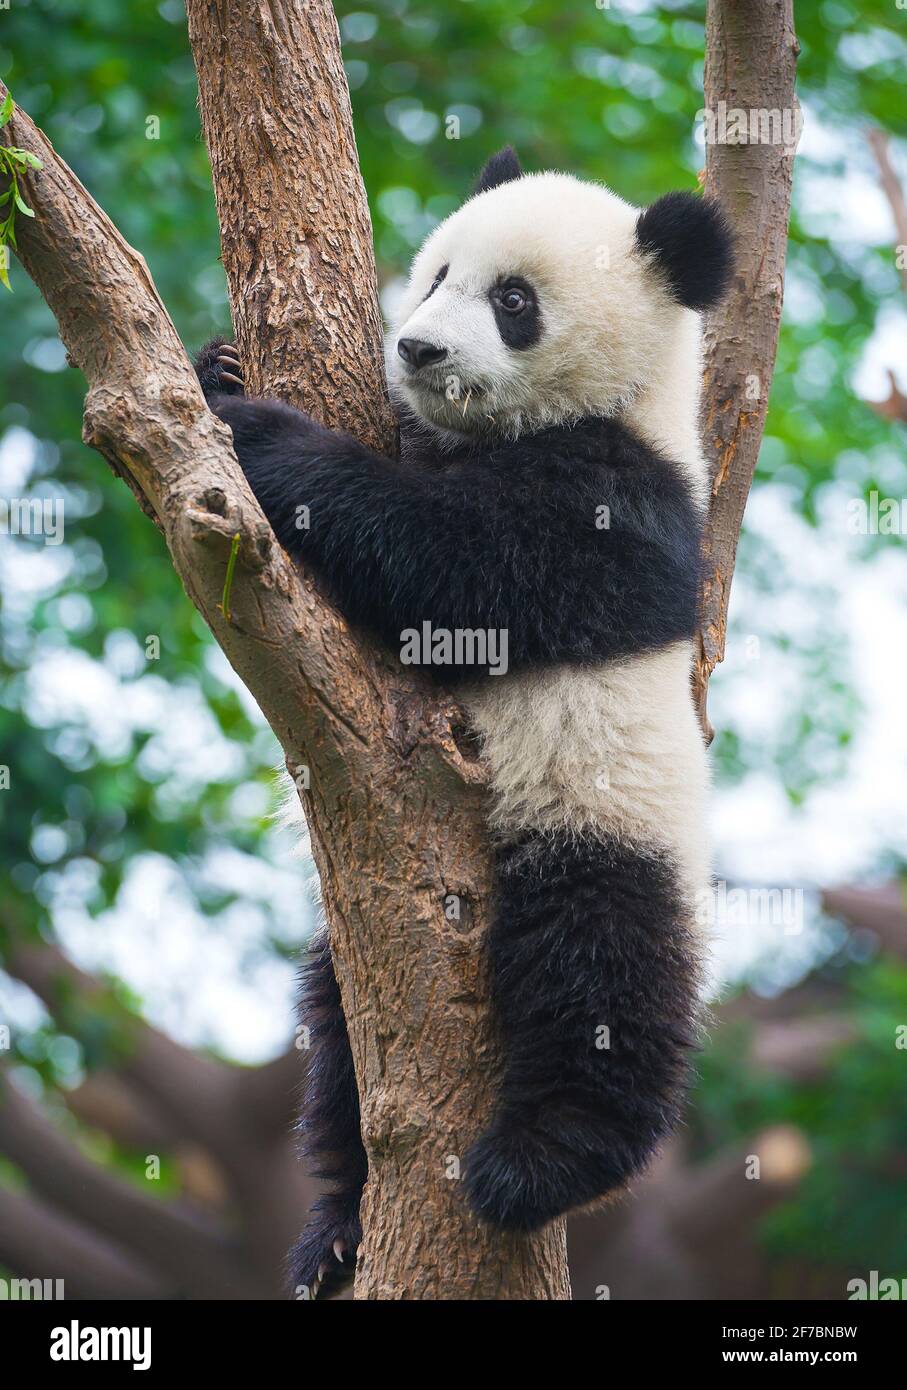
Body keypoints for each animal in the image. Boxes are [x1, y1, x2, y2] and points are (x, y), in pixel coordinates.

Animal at [194, 146, 733, 1298]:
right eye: (438, 272)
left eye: (514, 302)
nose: (417, 346)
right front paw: (221, 368)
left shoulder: (619, 503)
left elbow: (452, 559)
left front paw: (261, 432)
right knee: (335, 1038)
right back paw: (336, 1231)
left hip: (606, 813)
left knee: (603, 964)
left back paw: (544, 1160)